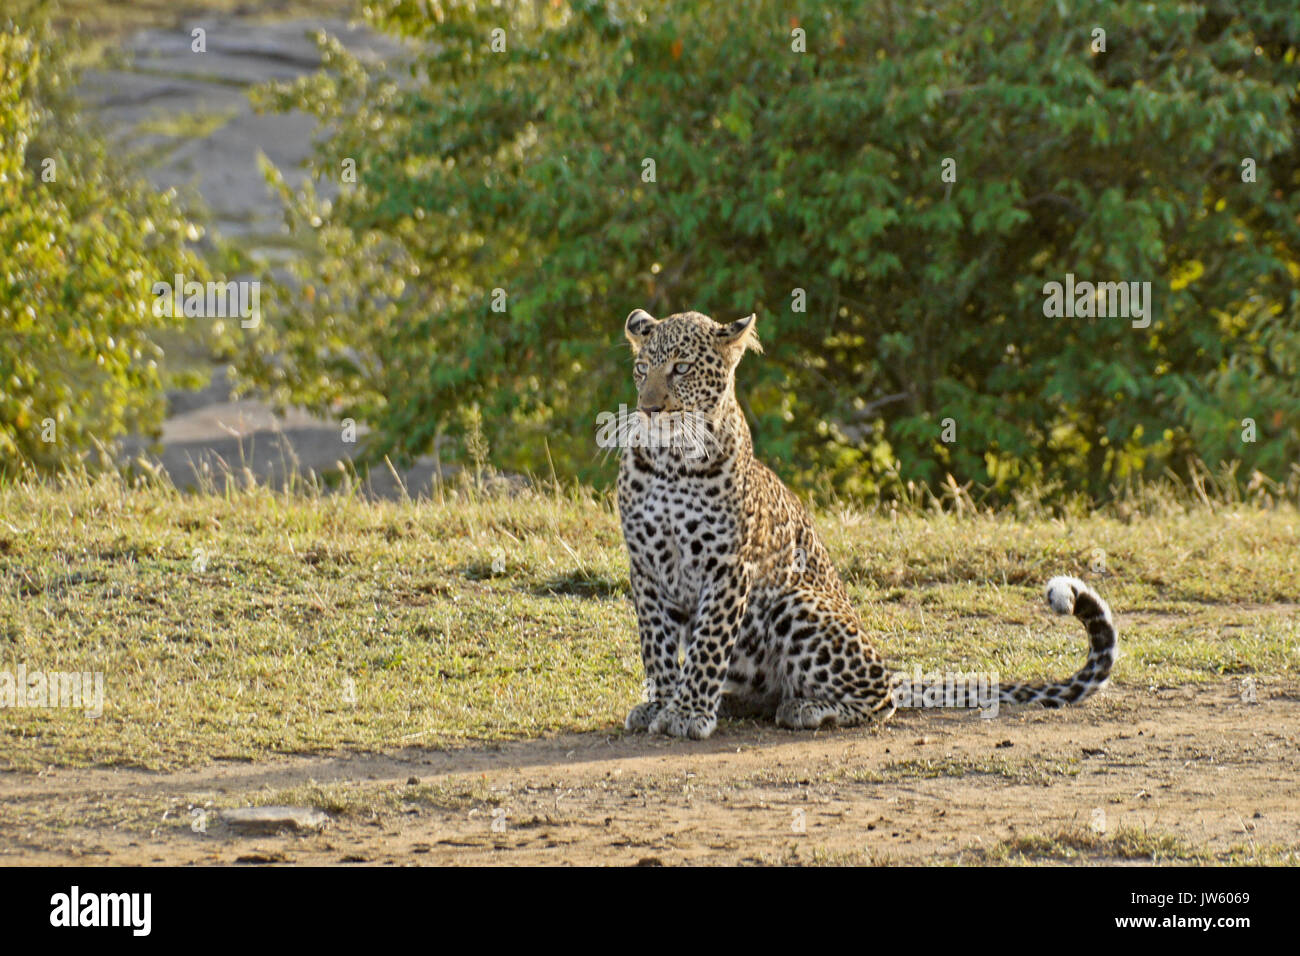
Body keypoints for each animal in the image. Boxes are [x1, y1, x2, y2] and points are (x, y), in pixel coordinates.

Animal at [616, 308, 1118, 740]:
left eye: (681, 369)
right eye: (641, 369)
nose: (649, 408)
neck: (672, 464)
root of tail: (890, 671)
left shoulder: (727, 568)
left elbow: (707, 645)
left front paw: (687, 713)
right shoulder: (646, 568)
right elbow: (657, 644)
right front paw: (661, 704)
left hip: (797, 603)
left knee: (879, 699)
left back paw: (805, 707)